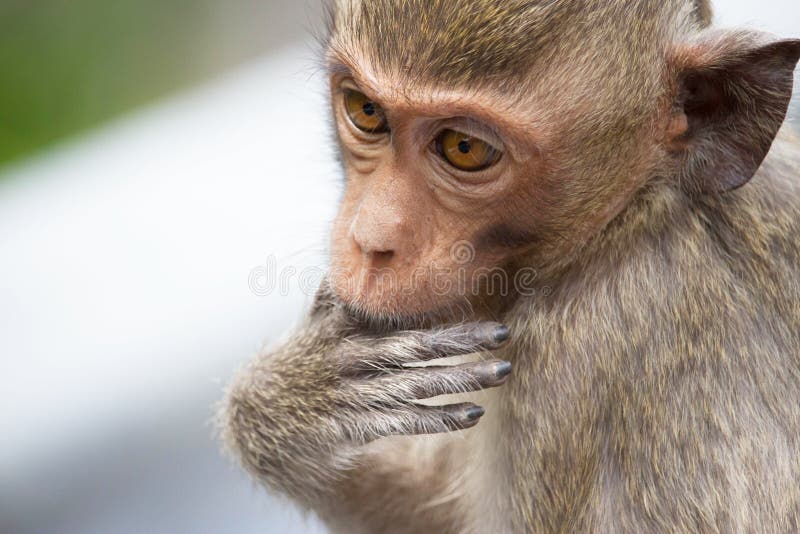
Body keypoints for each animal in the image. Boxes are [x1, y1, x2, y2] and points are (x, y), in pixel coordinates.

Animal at [220, 0, 800, 532]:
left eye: (464, 147)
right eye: (365, 110)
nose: (369, 240)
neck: (633, 214)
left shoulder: (582, 357)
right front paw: (286, 405)